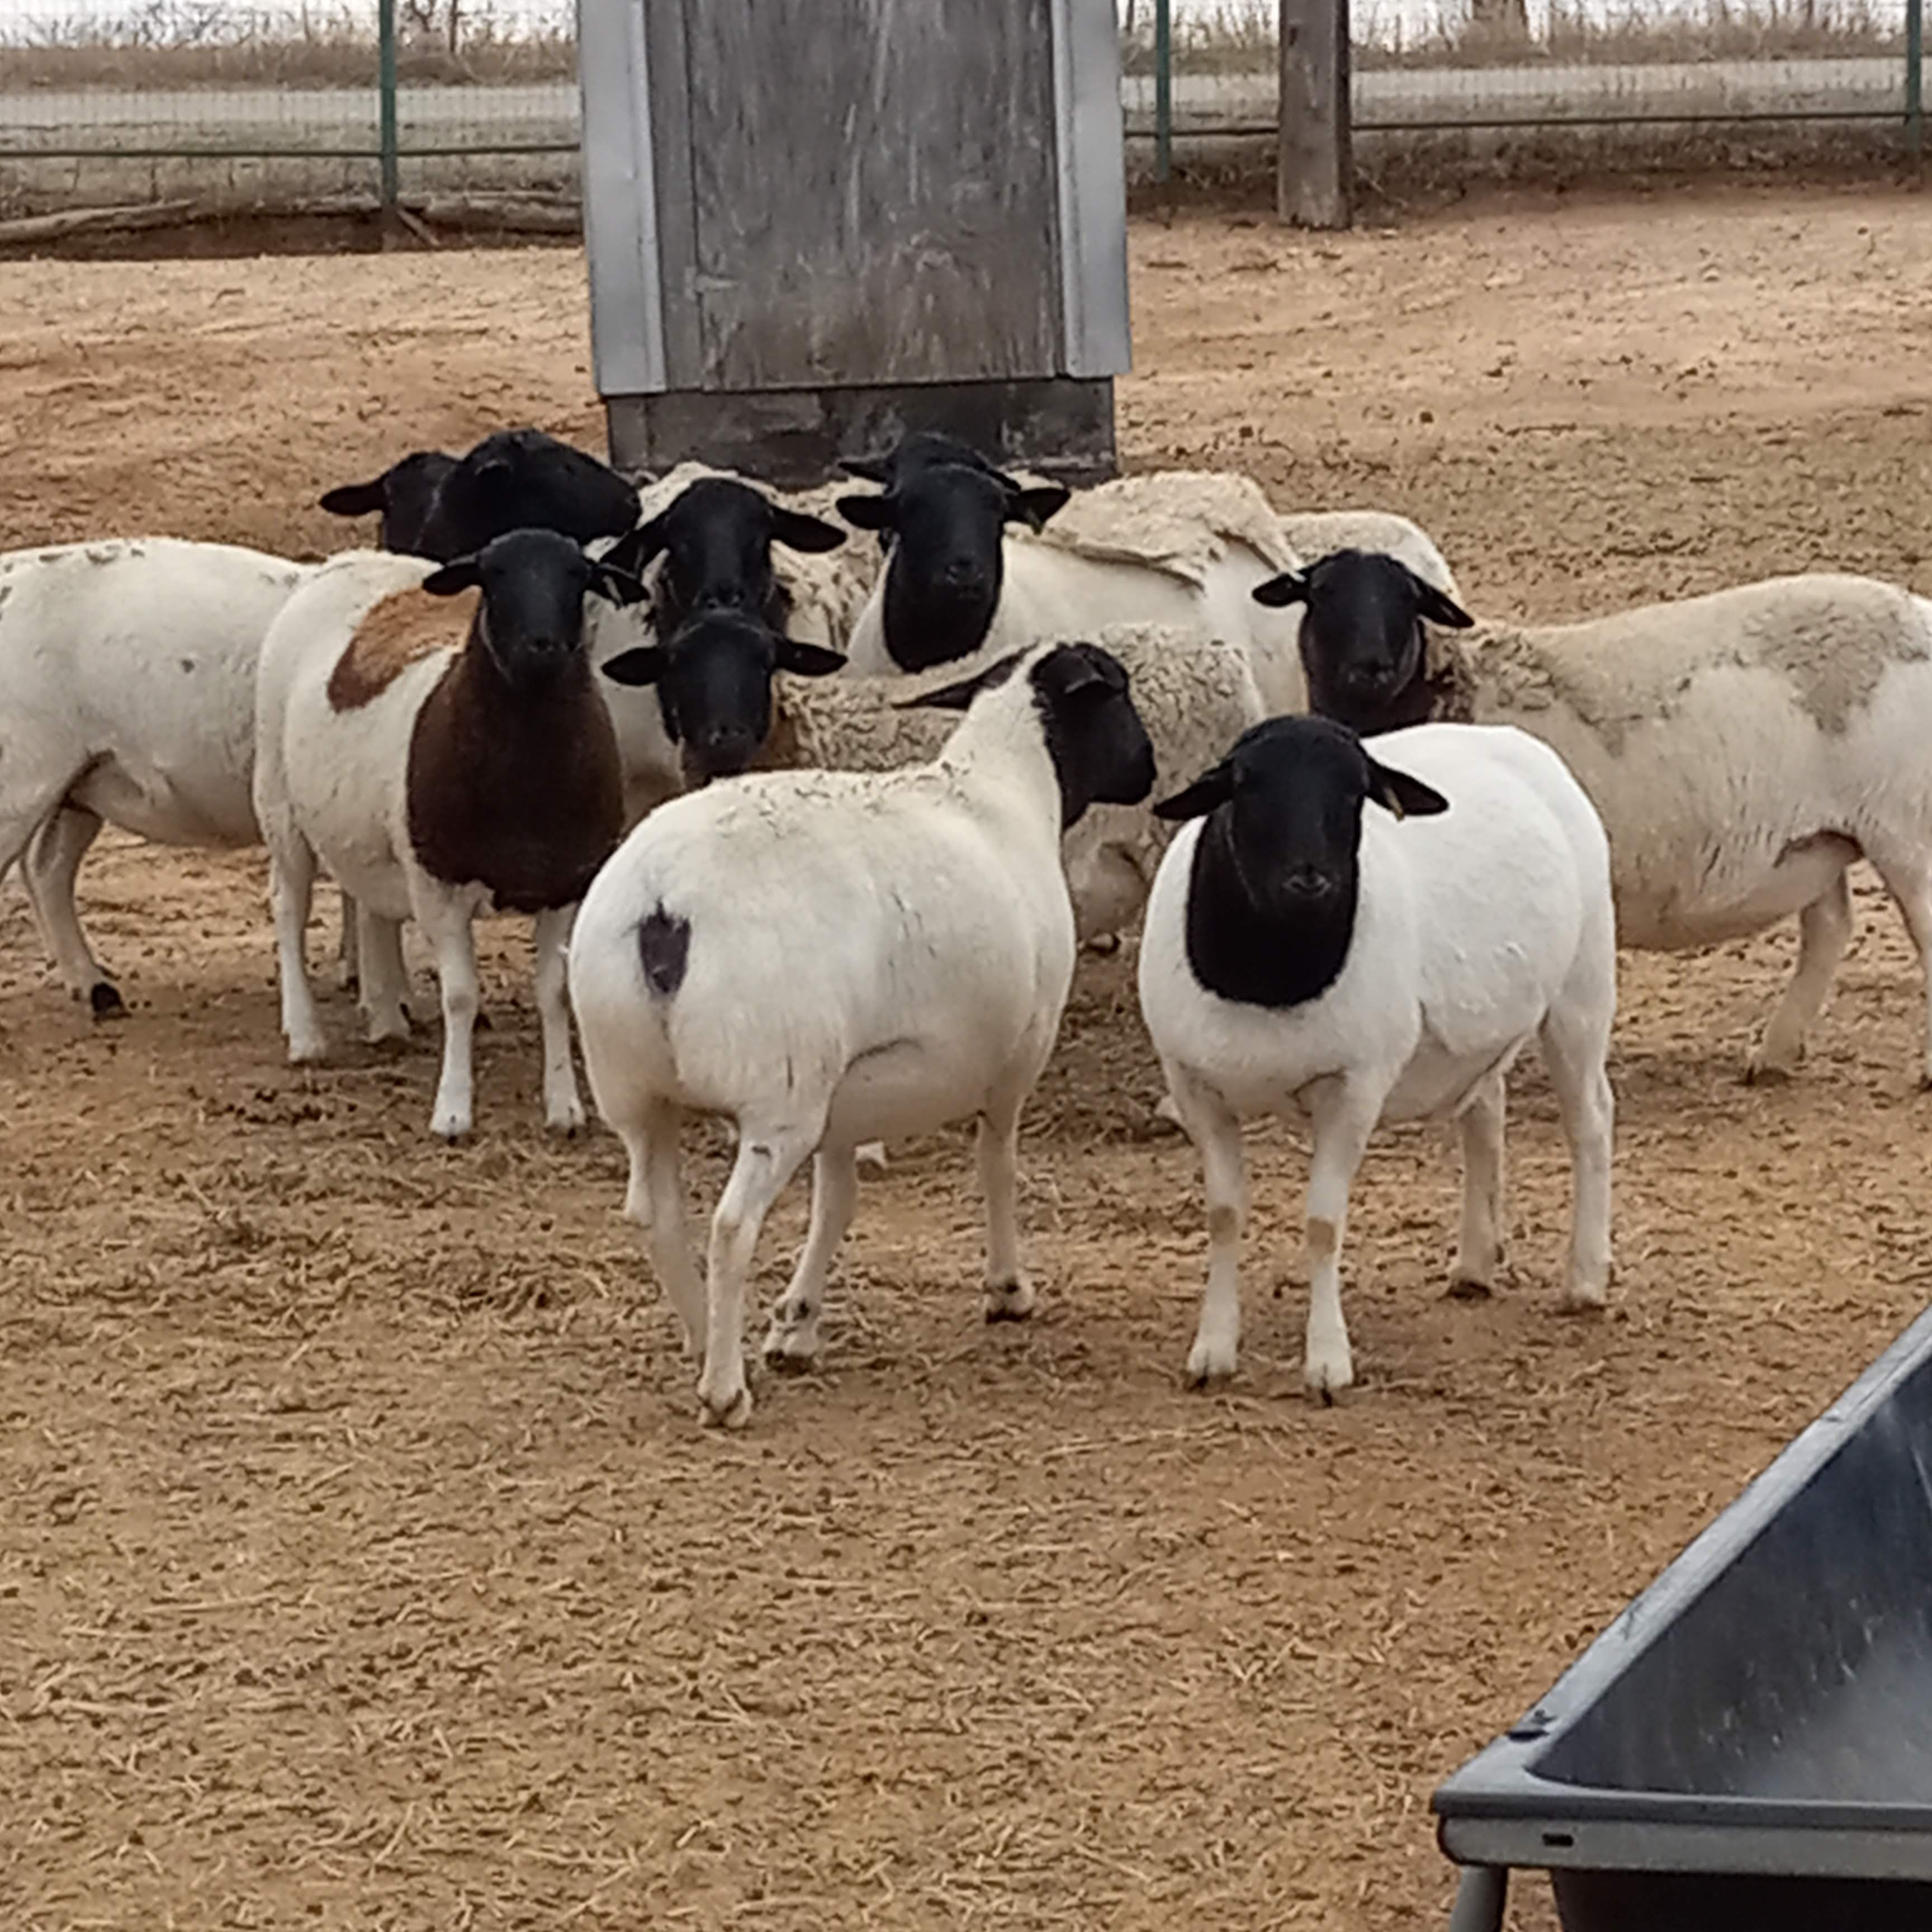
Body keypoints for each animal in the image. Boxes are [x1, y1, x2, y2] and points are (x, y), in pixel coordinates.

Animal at [252, 530, 641, 1139]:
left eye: (579, 575)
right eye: (493, 574)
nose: (543, 646)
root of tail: (354, 559)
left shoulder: (566, 885)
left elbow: (555, 992)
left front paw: (564, 1106)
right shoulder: (439, 883)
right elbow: (460, 995)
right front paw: (453, 1111)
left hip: (370, 835)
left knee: (372, 911)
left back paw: (385, 1016)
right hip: (279, 801)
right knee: (289, 909)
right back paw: (306, 1034)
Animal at [567, 640, 1158, 1429]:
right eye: (1119, 692)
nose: (1149, 767)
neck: (1005, 793)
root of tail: (663, 906)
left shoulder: (845, 1099)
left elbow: (838, 1201)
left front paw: (797, 1324)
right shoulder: (1015, 1064)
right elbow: (996, 1168)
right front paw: (1007, 1290)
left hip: (635, 1090)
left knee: (654, 1217)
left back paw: (699, 1337)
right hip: (777, 1096)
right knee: (730, 1227)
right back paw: (724, 1390)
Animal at [1139, 714, 1617, 1399]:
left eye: (1354, 791)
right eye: (1246, 785)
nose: (1311, 879)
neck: (1270, 973)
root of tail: (1506, 734)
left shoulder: (1354, 1087)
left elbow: (1323, 1224)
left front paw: (1327, 1364)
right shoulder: (1194, 1085)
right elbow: (1224, 1215)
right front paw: (1212, 1352)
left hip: (1582, 988)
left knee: (1591, 1122)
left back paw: (1585, 1277)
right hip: (1484, 1031)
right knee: (1486, 1115)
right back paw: (1475, 1265)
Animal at [1267, 552, 1932, 1084]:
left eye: (1407, 600)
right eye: (1320, 594)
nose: (1369, 667)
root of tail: (1921, 615)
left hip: (1904, 822)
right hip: (1819, 836)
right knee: (1829, 928)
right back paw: (1773, 1055)